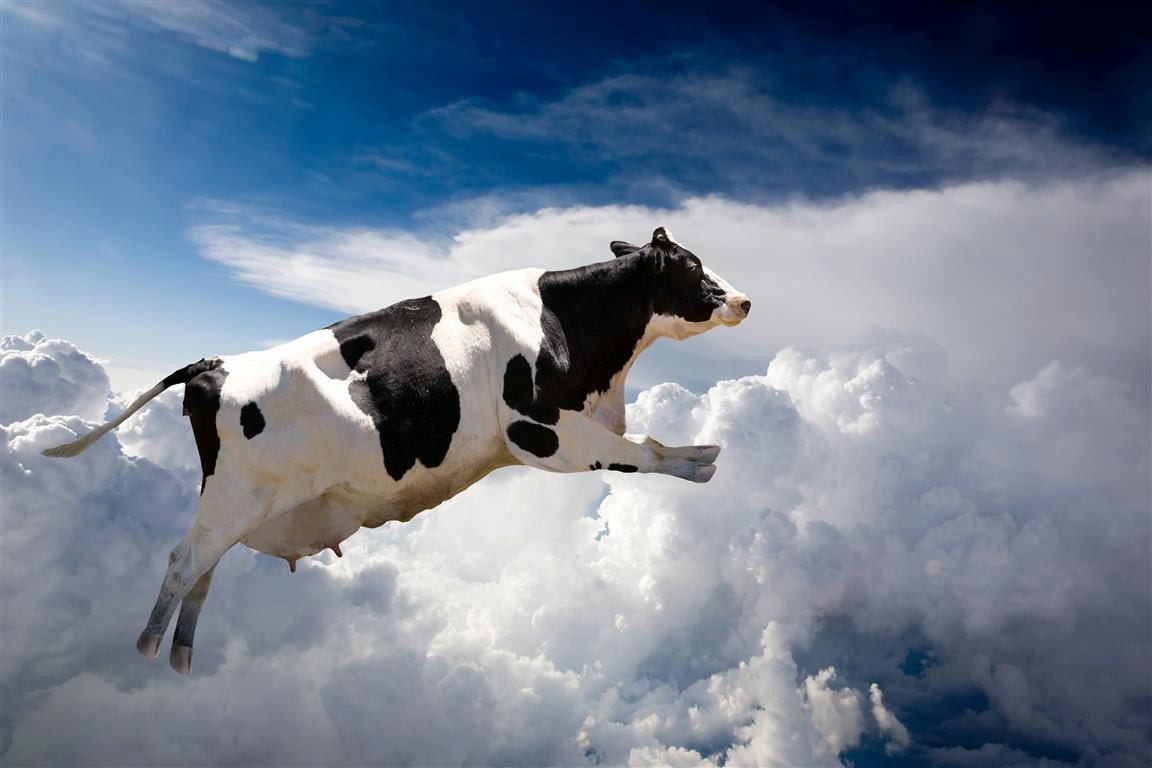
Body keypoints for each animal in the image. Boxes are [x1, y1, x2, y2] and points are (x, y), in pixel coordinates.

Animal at [43, 227, 750, 675]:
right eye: (691, 265)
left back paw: (183, 658)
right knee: (183, 562)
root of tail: (213, 363)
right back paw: (146, 649)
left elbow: (646, 443)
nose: (745, 300)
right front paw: (705, 460)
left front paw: (706, 450)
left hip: (236, 506)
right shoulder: (543, 434)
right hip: (233, 497)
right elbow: (645, 453)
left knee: (204, 570)